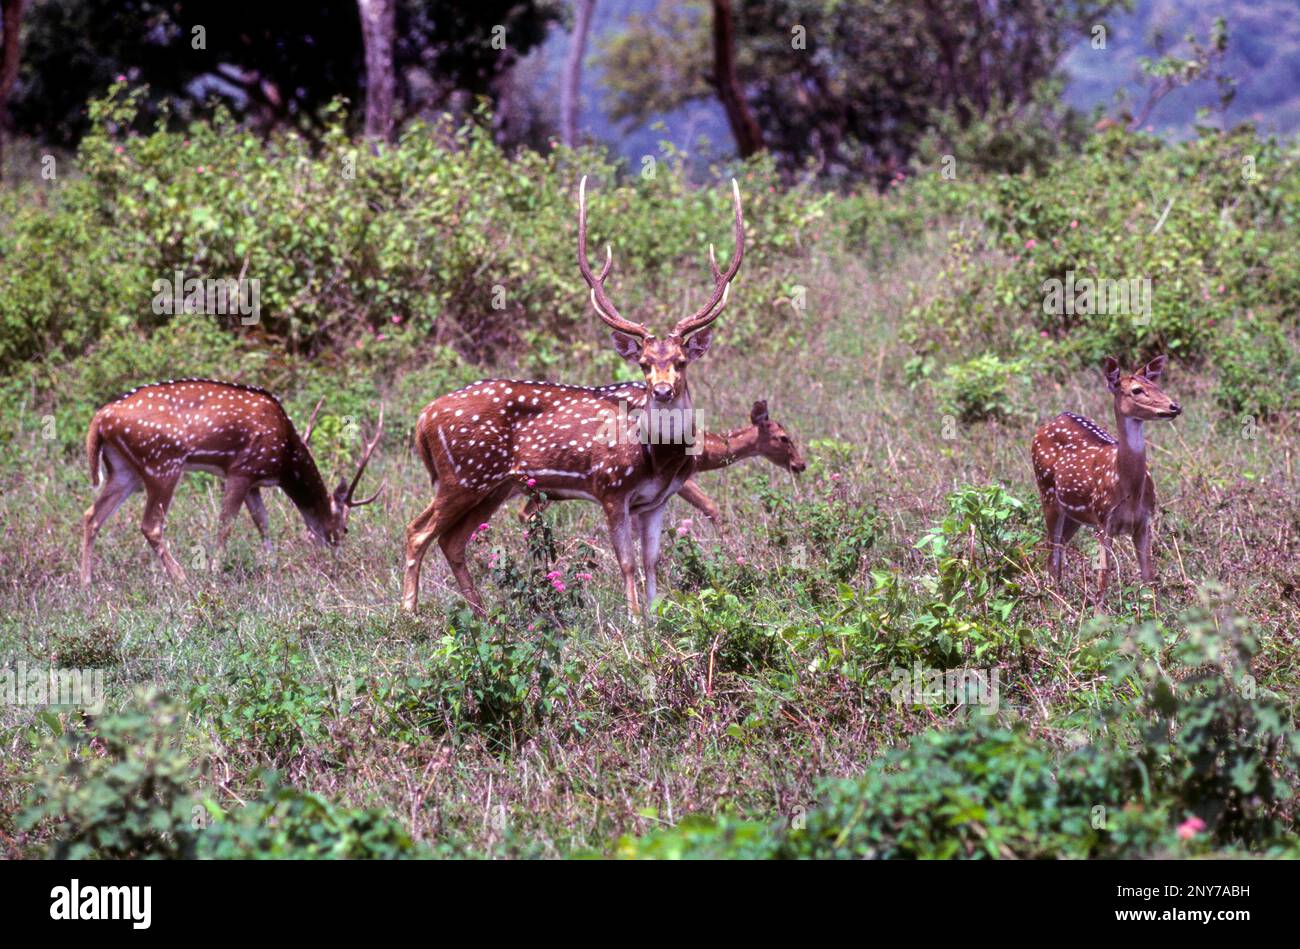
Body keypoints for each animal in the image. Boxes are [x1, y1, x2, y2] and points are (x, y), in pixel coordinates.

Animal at [80, 379, 384, 585]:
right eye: (345, 528)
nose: (337, 559)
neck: (284, 459)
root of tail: (100, 419)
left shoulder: (253, 481)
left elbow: (262, 521)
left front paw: (272, 565)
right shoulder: (241, 469)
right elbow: (226, 524)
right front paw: (215, 571)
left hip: (124, 471)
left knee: (91, 515)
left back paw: (86, 582)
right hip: (162, 464)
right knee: (150, 525)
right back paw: (181, 578)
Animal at [401, 175, 745, 618]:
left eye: (682, 361)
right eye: (644, 363)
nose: (663, 390)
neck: (657, 458)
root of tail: (423, 417)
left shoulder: (656, 501)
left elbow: (652, 559)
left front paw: (655, 614)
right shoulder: (610, 487)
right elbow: (627, 561)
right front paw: (634, 619)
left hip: (493, 485)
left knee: (452, 540)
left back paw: (483, 613)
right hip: (462, 474)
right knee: (417, 531)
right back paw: (409, 613)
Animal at [1031, 355, 1181, 598]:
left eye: (1156, 385)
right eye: (1137, 390)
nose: (1174, 406)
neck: (1129, 488)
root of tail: (1051, 421)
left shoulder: (1144, 522)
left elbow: (1150, 578)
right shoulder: (1104, 520)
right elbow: (1103, 578)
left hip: (1074, 515)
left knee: (1057, 551)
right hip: (1047, 493)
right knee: (1052, 553)